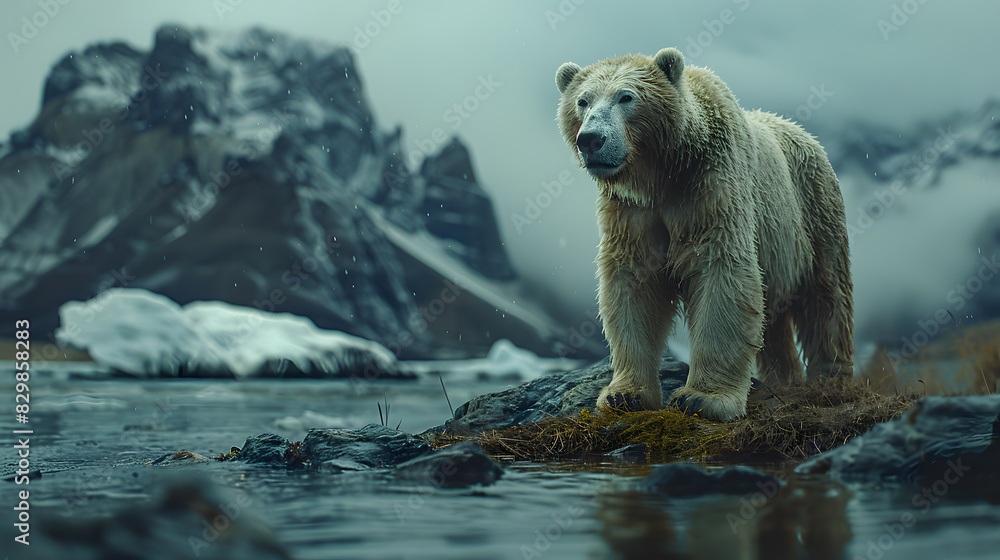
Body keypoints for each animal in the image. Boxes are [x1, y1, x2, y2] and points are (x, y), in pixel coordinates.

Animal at [555, 48, 854, 422]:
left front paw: (703, 398)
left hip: (812, 207)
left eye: (626, 97)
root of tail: (805, 134)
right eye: (582, 101)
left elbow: (721, 272)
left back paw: (831, 376)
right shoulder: (631, 212)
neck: (663, 175)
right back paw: (783, 379)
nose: (591, 139)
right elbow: (633, 284)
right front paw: (624, 394)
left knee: (827, 293)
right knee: (773, 321)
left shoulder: (711, 187)